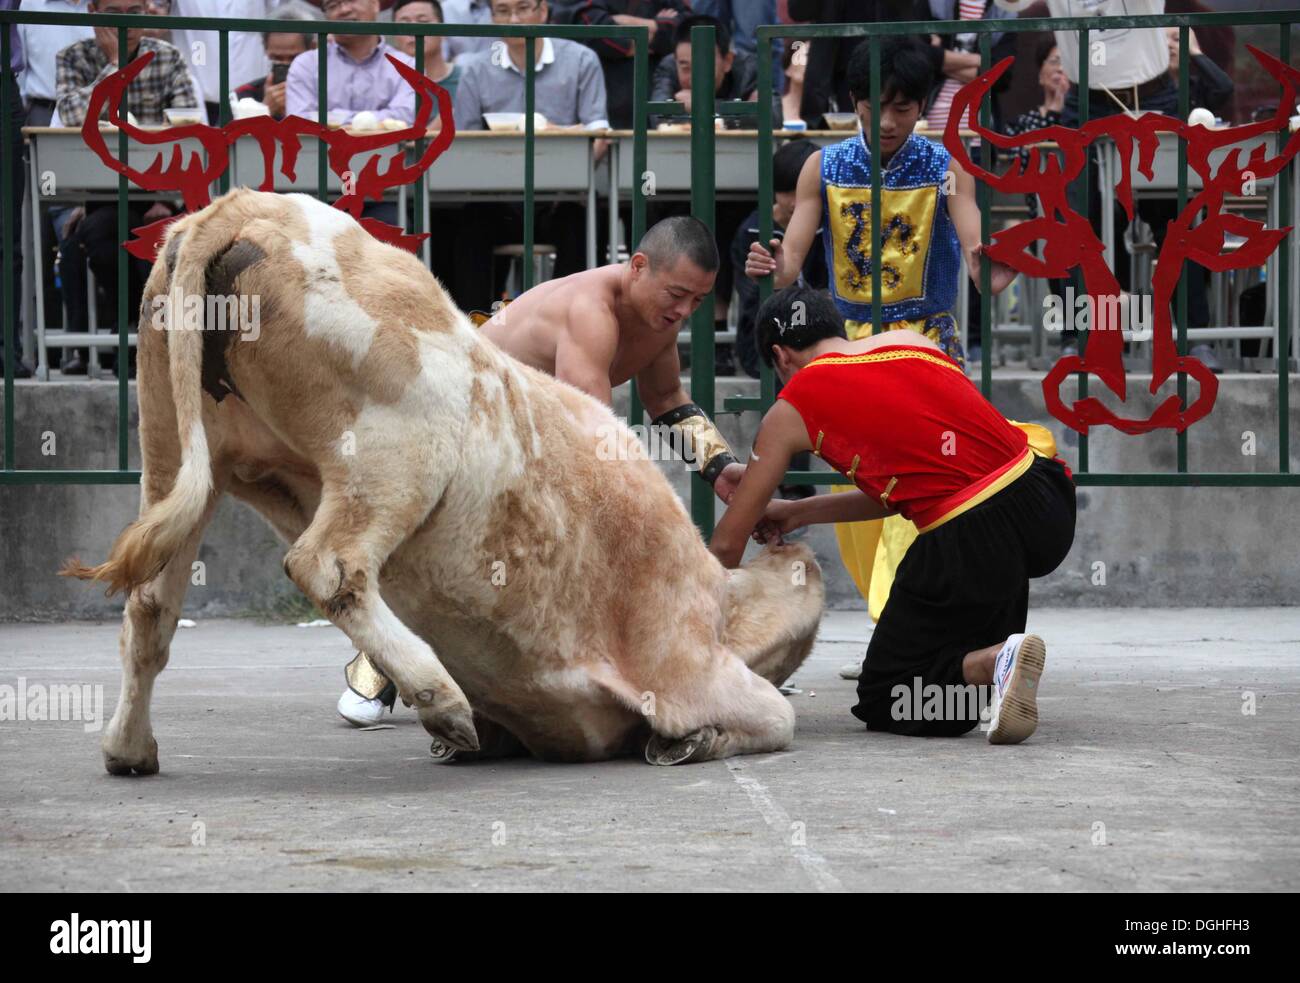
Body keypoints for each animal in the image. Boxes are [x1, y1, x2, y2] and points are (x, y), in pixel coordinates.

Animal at [62, 188, 824, 773]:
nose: (795, 543)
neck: (717, 597)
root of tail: (241, 207)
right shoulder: (685, 664)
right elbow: (774, 715)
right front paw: (691, 740)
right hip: (400, 454)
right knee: (327, 563)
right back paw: (441, 697)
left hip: (176, 453)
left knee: (150, 607)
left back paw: (129, 749)